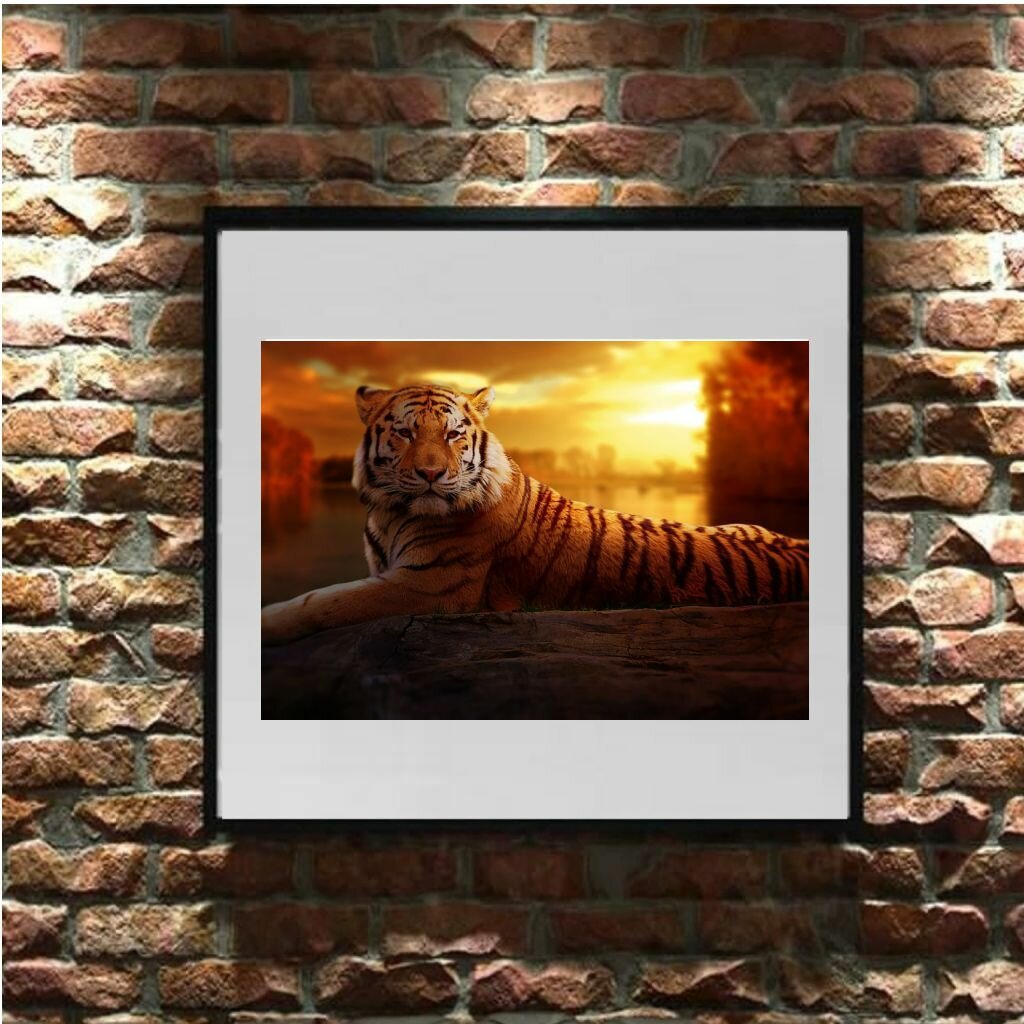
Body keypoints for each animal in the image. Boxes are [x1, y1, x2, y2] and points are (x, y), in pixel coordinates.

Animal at [260, 383, 809, 646]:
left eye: (453, 434)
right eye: (405, 432)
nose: (433, 474)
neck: (390, 513)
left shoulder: (427, 585)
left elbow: (322, 601)